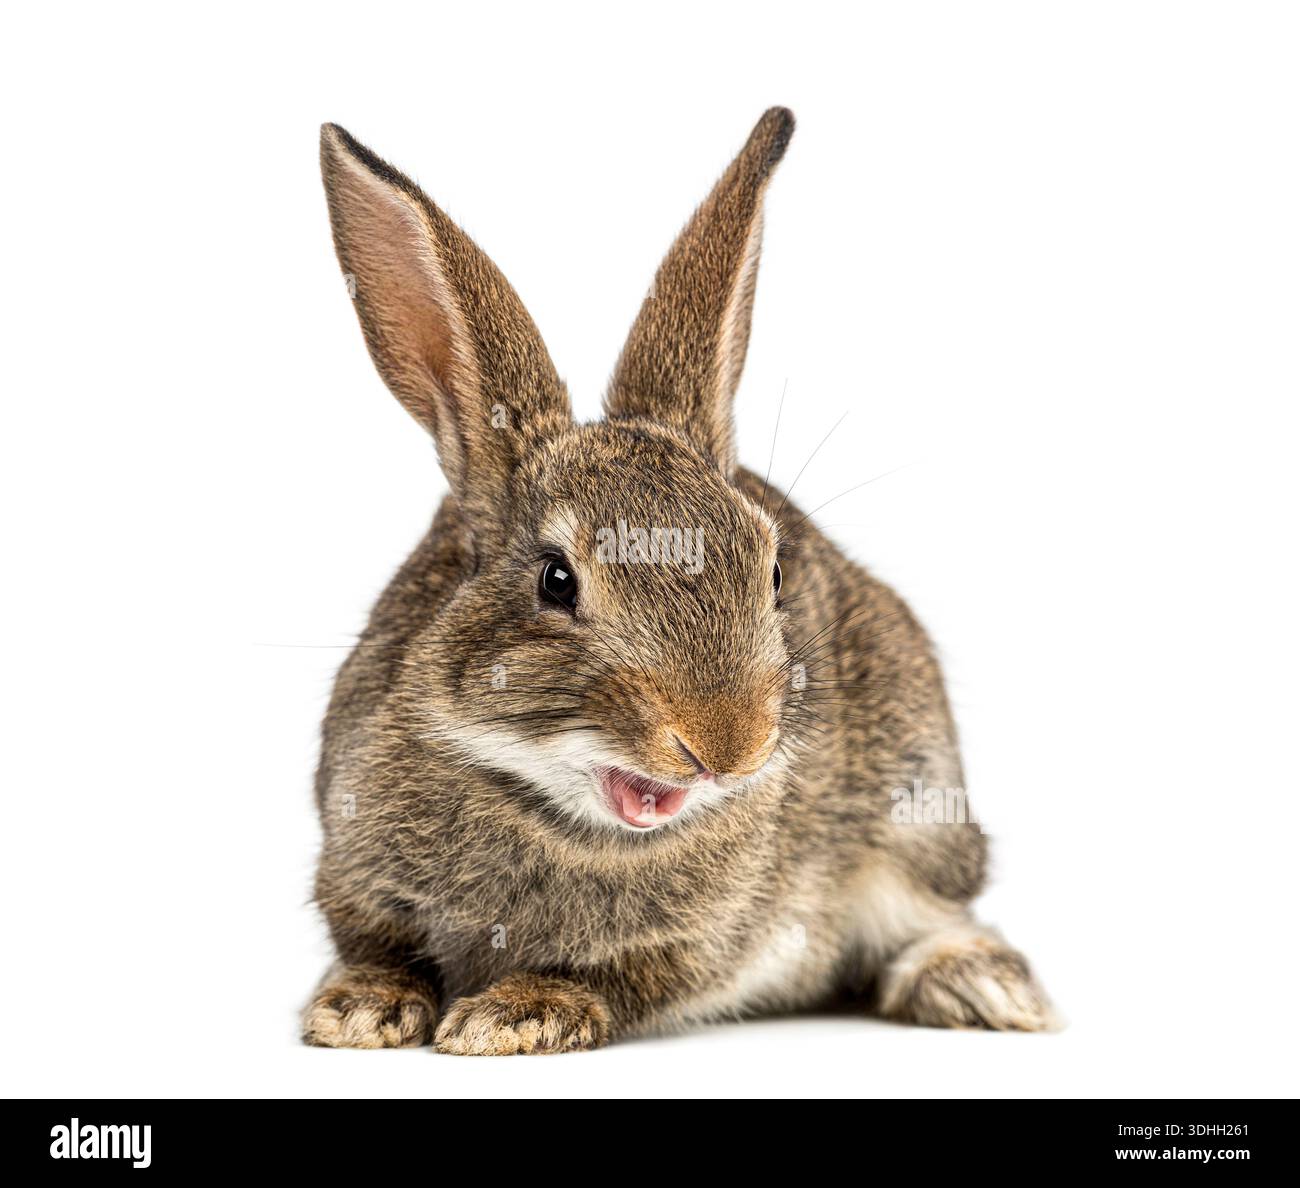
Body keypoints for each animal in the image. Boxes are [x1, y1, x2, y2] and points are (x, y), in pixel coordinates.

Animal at [302, 108, 1056, 1055]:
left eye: (773, 571)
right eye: (556, 580)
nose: (730, 741)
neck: (548, 805)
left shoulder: (697, 943)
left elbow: (608, 978)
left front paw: (512, 1016)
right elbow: (379, 948)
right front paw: (358, 1008)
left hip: (918, 810)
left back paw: (980, 988)